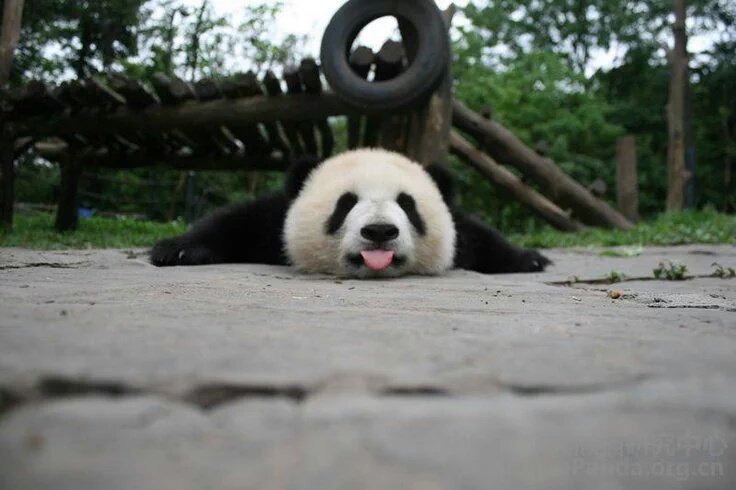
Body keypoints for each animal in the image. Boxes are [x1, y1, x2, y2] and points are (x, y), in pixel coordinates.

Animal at [151, 149, 550, 277]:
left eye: (408, 204)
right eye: (345, 204)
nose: (379, 232)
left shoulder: (461, 229)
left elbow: (478, 234)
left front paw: (529, 259)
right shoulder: (274, 220)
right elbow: (236, 221)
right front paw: (178, 250)